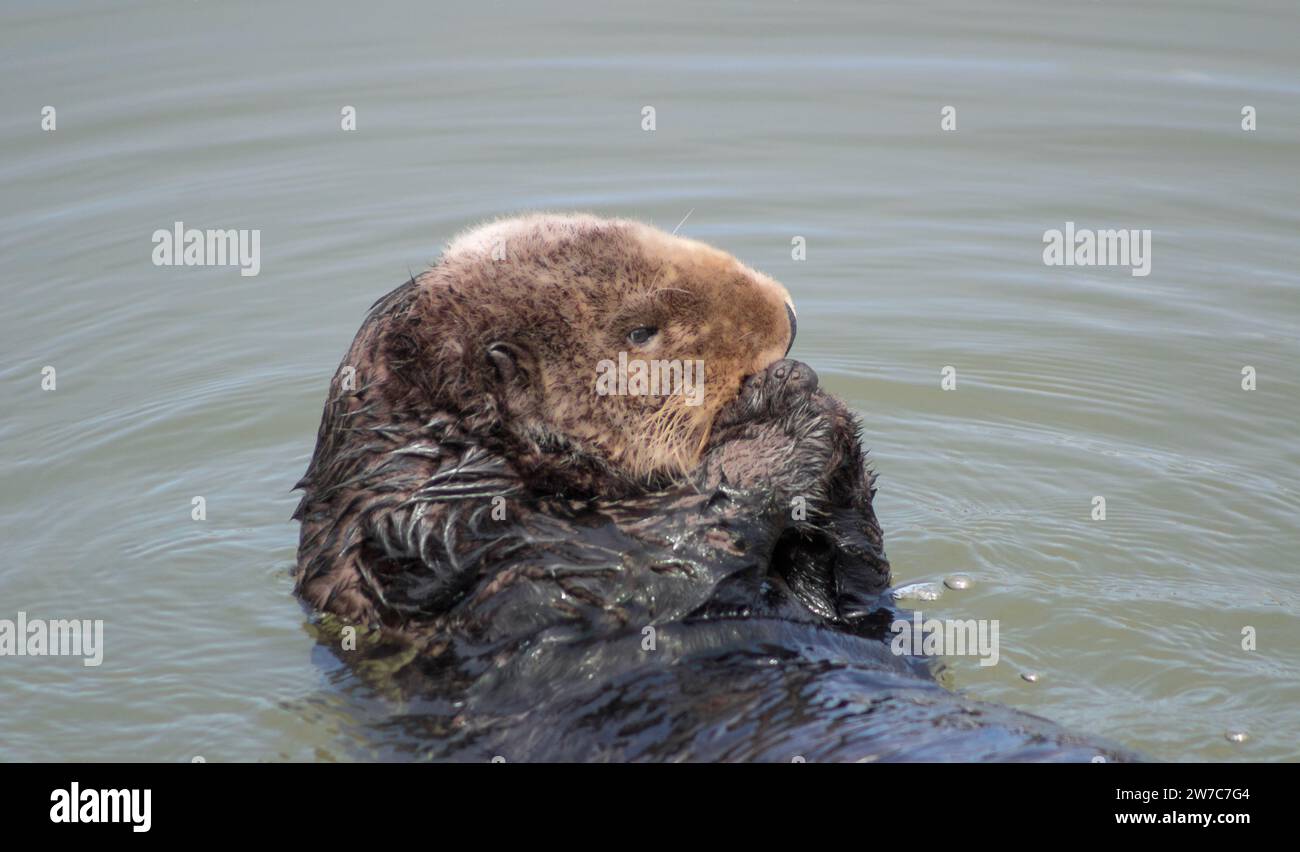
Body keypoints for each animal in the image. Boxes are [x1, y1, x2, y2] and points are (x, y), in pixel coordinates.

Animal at [293, 213, 1137, 761]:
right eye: (641, 332)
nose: (787, 316)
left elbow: (857, 596)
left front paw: (814, 406)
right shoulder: (446, 538)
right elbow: (634, 577)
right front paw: (778, 422)